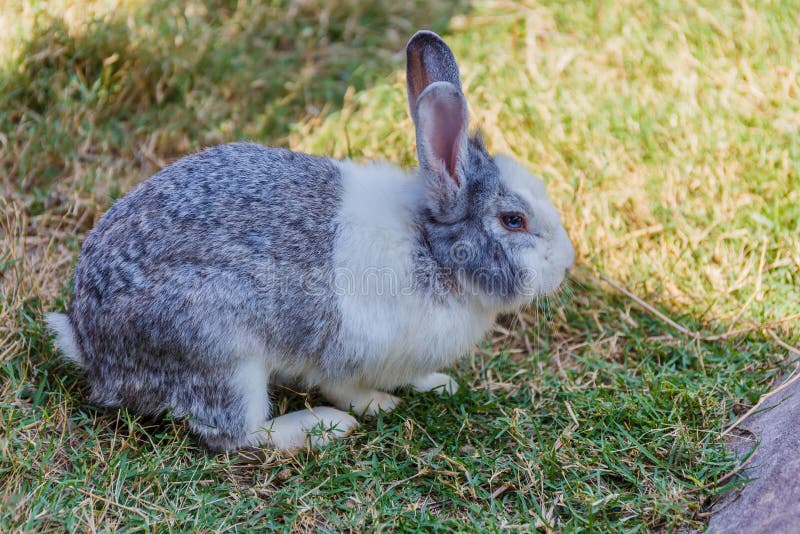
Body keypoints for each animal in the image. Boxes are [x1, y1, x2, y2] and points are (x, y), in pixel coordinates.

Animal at [46, 30, 575, 452]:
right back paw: (321, 427)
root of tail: (93, 348)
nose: (567, 263)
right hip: (221, 348)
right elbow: (343, 386)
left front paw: (438, 383)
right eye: (513, 220)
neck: (431, 250)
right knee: (236, 433)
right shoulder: (347, 349)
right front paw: (377, 405)